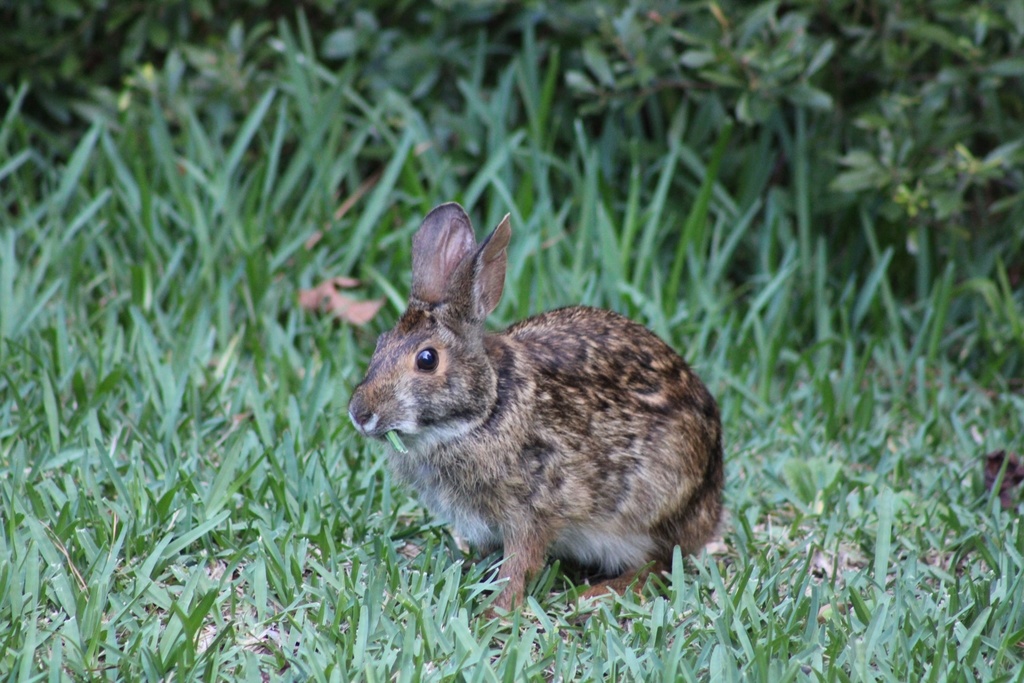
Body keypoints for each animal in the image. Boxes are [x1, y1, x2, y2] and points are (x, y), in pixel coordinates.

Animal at [348, 202, 723, 613]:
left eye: (427, 359)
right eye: (380, 343)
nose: (359, 413)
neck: (486, 409)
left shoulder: (531, 511)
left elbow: (520, 561)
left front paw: (497, 610)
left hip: (650, 504)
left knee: (659, 564)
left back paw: (596, 595)